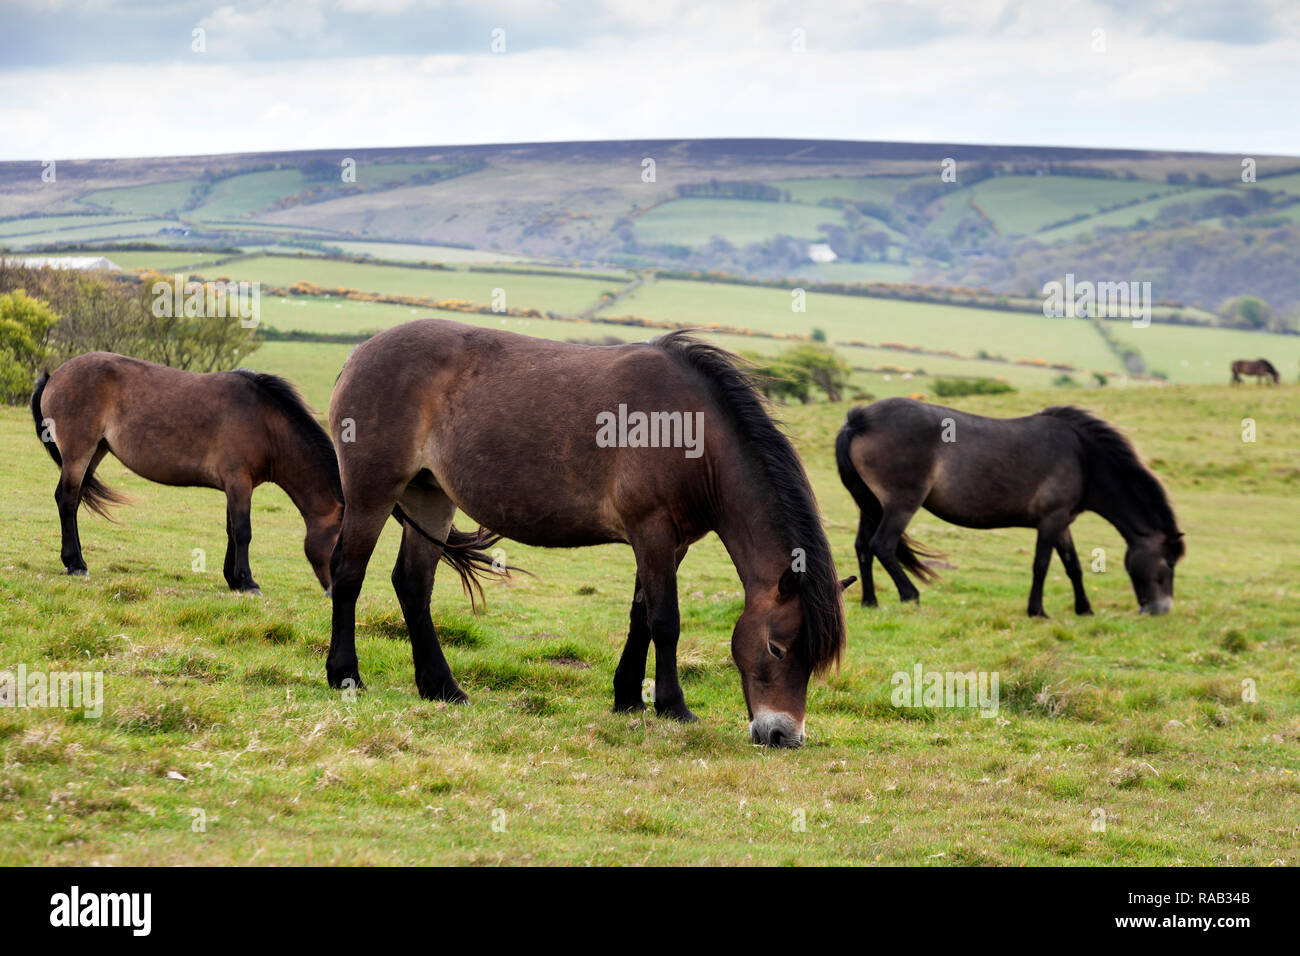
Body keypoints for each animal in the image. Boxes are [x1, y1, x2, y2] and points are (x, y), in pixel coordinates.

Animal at [30, 352, 344, 594]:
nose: (336, 591)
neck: (264, 423)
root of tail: (54, 376)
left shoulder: (235, 486)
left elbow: (232, 530)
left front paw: (233, 579)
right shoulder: (239, 481)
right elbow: (243, 532)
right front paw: (248, 582)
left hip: (95, 451)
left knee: (73, 499)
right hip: (78, 452)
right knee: (67, 500)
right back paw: (76, 564)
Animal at [325, 319, 854, 747]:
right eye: (777, 647)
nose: (784, 735)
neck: (692, 434)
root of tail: (359, 352)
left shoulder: (672, 542)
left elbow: (641, 617)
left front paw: (628, 698)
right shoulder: (652, 531)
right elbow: (666, 620)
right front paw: (673, 707)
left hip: (430, 496)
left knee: (413, 585)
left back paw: (442, 688)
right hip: (373, 493)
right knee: (348, 574)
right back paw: (345, 676)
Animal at [836, 398, 1183, 617]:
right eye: (1167, 564)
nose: (1161, 609)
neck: (1084, 459)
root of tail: (859, 420)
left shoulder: (1063, 522)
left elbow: (1073, 566)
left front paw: (1084, 609)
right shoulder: (1051, 519)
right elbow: (1042, 564)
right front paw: (1037, 610)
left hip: (870, 504)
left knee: (863, 547)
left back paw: (870, 602)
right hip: (901, 504)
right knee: (883, 545)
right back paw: (911, 596)